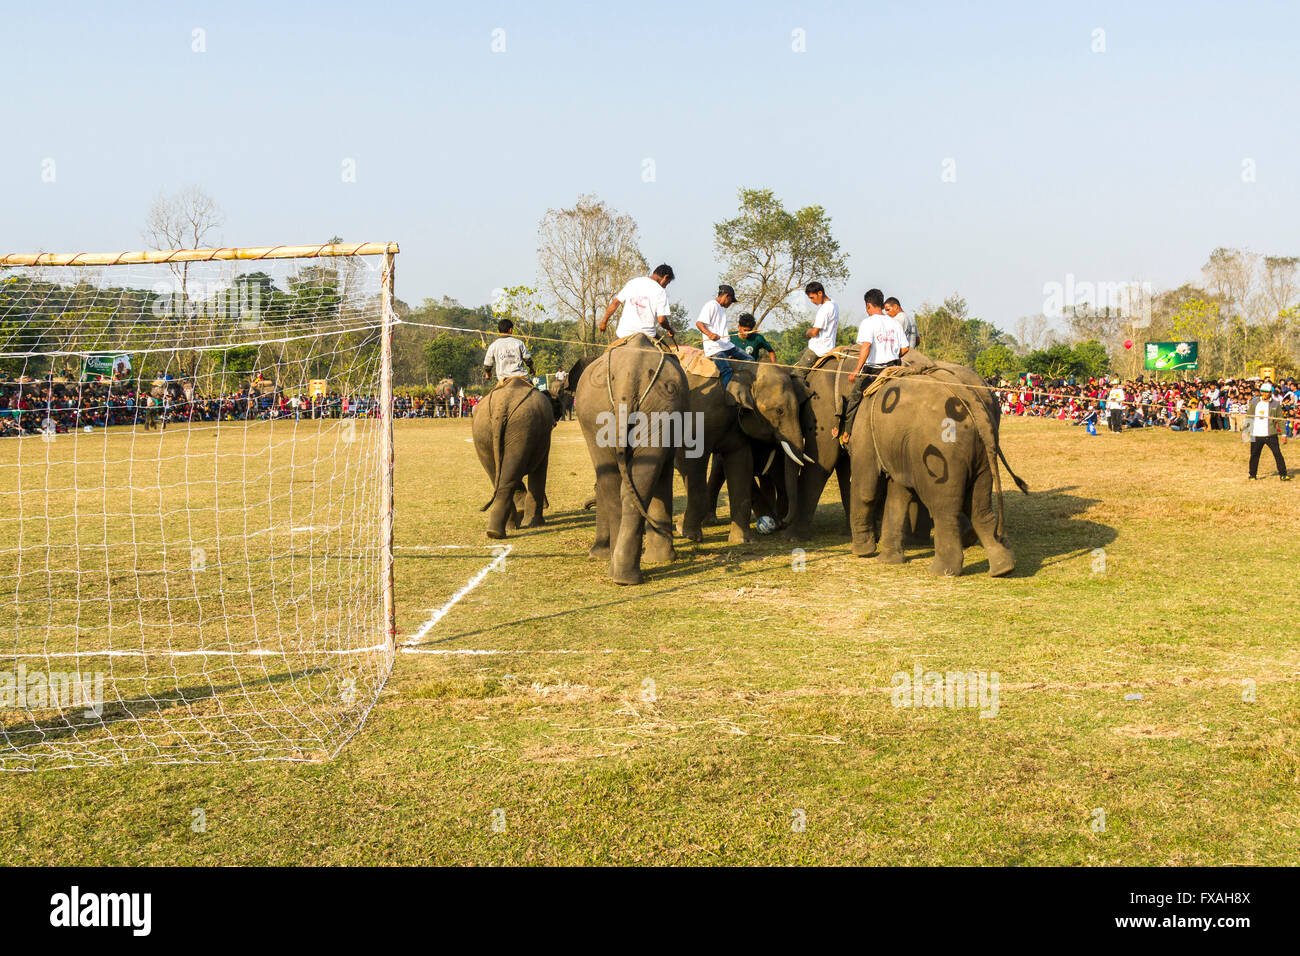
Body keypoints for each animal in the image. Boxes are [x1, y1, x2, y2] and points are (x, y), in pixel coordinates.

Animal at [471, 378, 555, 539]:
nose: (548, 505)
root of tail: (501, 407)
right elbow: (541, 467)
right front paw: (535, 523)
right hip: (522, 427)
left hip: (484, 431)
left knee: (498, 477)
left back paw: (497, 532)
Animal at [574, 333, 690, 585]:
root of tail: (630, 371)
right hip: (650, 407)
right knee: (629, 481)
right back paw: (624, 573)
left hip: (647, 409)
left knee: (616, 483)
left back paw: (621, 574)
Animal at [675, 351, 809, 543]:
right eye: (779, 411)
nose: (783, 521)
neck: (744, 370)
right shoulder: (700, 413)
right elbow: (690, 460)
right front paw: (689, 535)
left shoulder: (737, 426)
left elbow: (741, 464)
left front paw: (743, 540)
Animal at [846, 357, 1025, 576]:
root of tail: (973, 400)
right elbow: (898, 494)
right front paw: (887, 561)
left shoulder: (864, 428)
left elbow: (866, 490)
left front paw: (862, 553)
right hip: (983, 453)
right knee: (979, 507)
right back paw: (1003, 568)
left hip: (943, 453)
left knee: (944, 508)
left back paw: (941, 571)